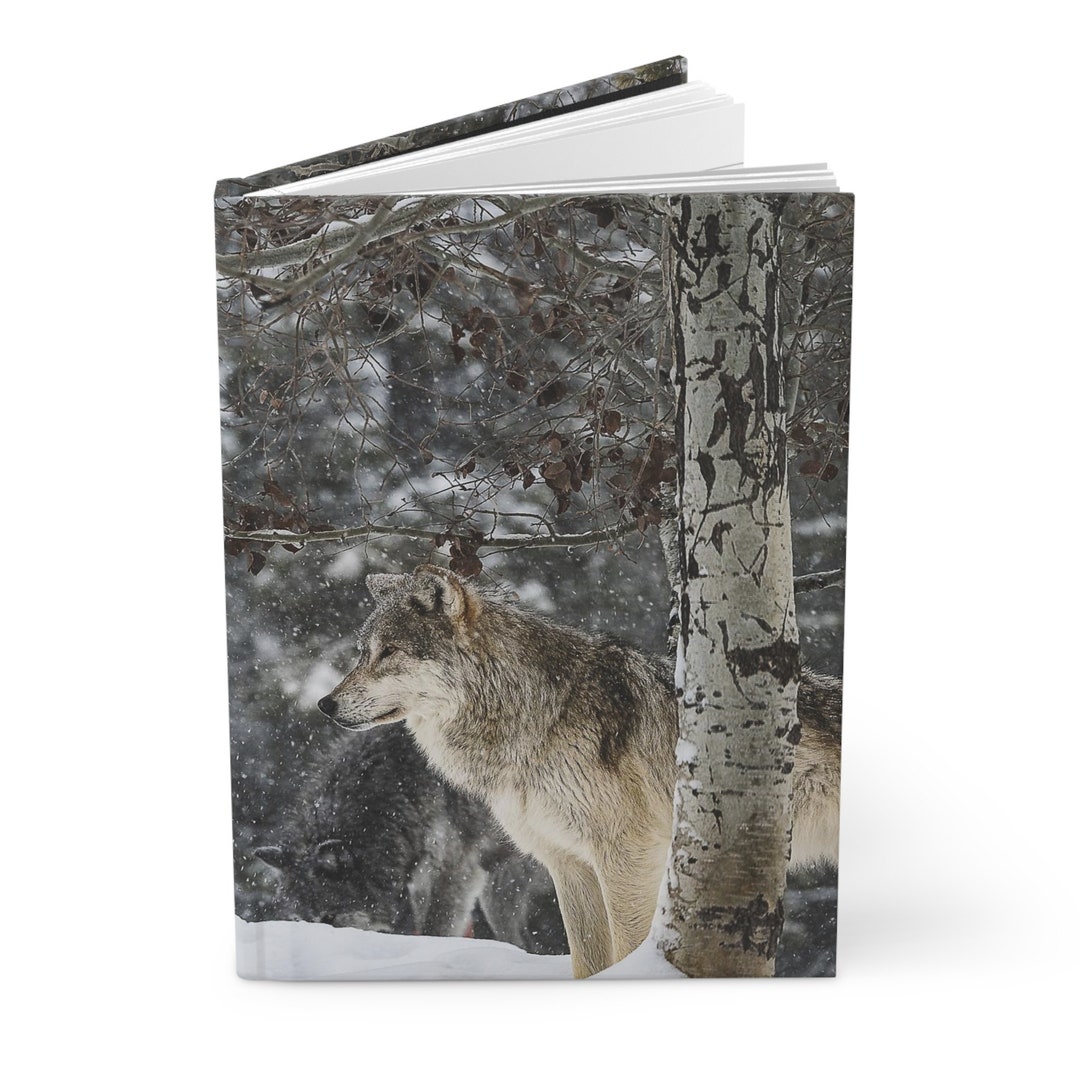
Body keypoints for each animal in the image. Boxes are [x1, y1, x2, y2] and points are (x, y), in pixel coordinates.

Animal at [253, 722, 567, 953]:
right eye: (300, 921)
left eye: (329, 918)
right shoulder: (420, 880)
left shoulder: (455, 871)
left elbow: (434, 929)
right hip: (499, 893)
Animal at [317, 565, 841, 978]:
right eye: (362, 651)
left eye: (389, 652)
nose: (325, 704)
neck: (544, 717)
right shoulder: (568, 864)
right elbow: (587, 962)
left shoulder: (629, 857)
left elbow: (625, 951)